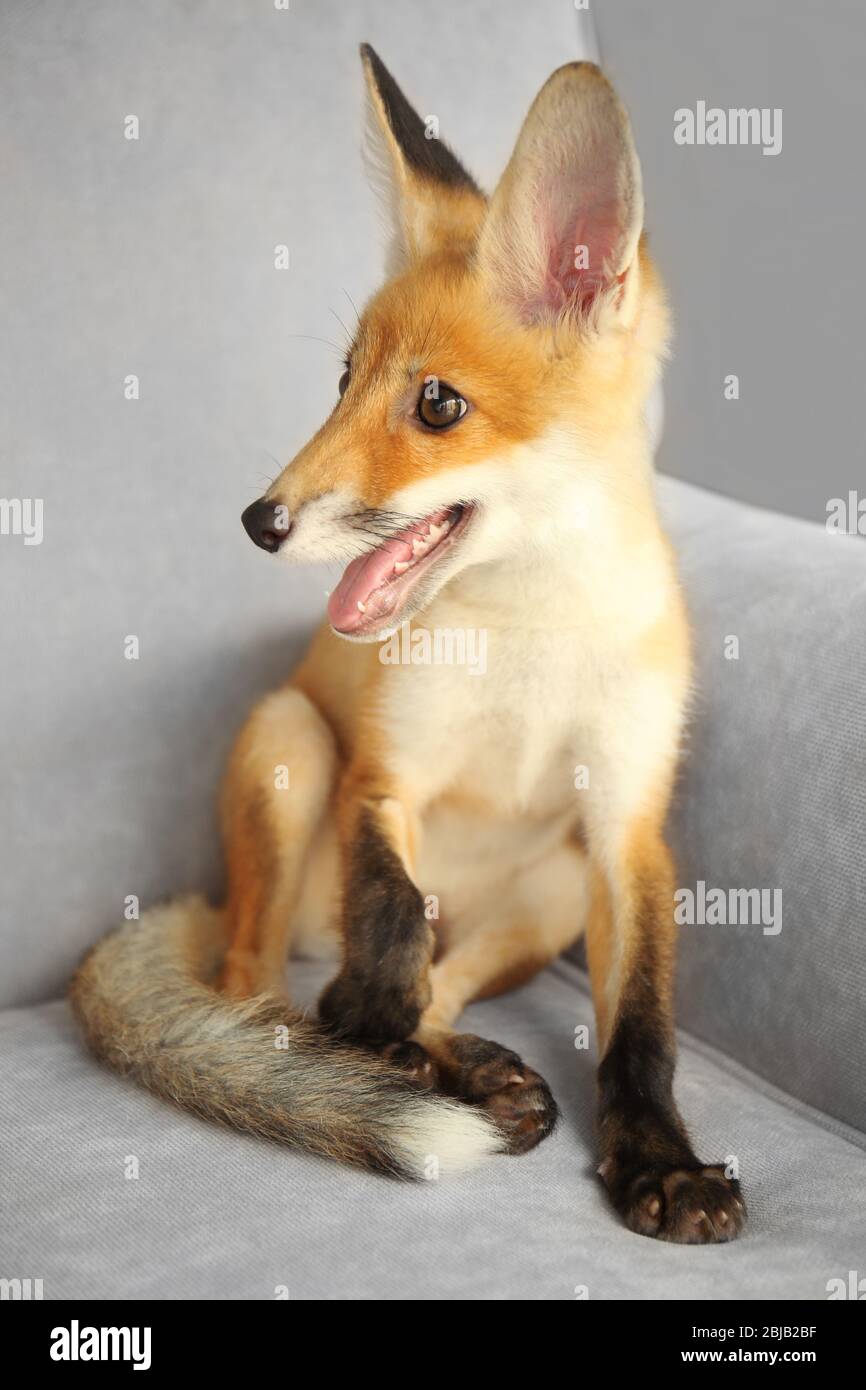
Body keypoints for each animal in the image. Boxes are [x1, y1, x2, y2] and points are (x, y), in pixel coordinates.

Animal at [70, 45, 746, 1243]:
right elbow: (385, 927)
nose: (259, 520)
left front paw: (660, 1161)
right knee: (263, 989)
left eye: (437, 404)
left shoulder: (628, 825)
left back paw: (460, 1062)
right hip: (289, 748)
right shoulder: (385, 775)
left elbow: (640, 1027)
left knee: (440, 982)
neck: (528, 638)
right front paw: (374, 1050)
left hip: (551, 889)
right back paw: (366, 1059)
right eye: (343, 381)